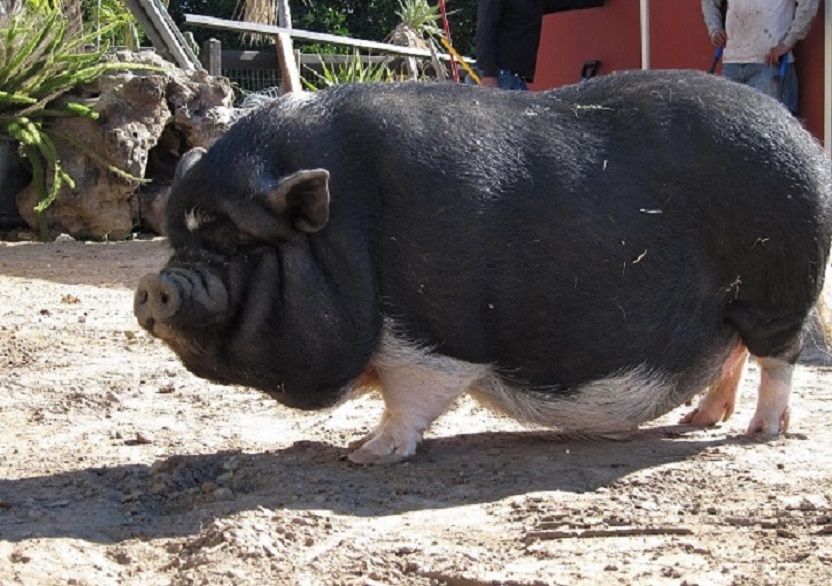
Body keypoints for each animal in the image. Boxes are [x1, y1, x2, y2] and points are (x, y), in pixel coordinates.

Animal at [135, 69, 832, 464]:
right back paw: (699, 420)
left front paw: (366, 457)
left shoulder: (435, 335)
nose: (152, 284)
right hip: (736, 303)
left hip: (777, 286)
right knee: (733, 352)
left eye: (240, 243)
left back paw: (761, 434)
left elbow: (411, 397)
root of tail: (802, 137)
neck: (349, 235)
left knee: (778, 356)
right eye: (176, 240)